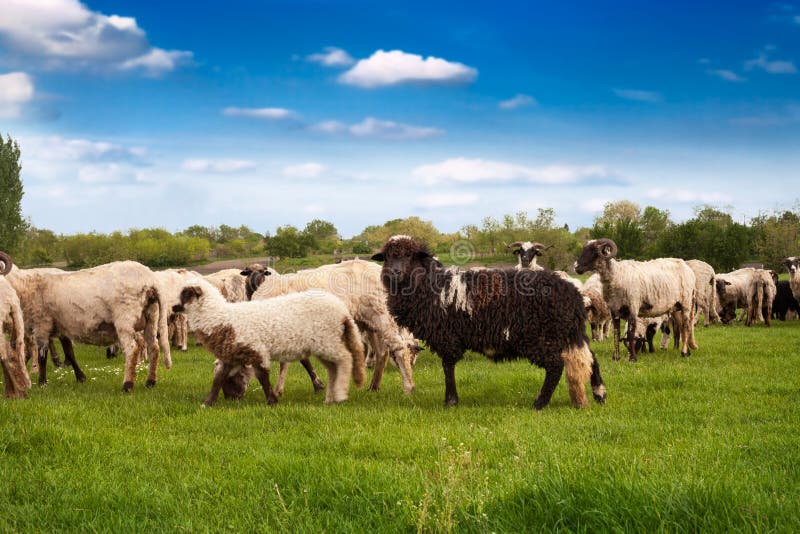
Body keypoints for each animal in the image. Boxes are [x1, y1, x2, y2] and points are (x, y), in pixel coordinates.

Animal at [6, 261, 171, 392]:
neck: (26, 286)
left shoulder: (42, 324)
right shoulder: (62, 326)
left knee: (132, 349)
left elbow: (42, 356)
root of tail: (150, 278)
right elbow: (69, 352)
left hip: (125, 317)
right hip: (152, 315)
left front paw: (41, 383)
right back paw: (150, 382)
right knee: (154, 348)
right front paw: (80, 378)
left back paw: (127, 385)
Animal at [172, 280, 366, 406]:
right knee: (334, 368)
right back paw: (329, 398)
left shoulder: (256, 349)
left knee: (345, 359)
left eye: (186, 293)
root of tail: (343, 311)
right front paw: (208, 402)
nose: (172, 307)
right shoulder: (231, 354)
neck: (220, 318)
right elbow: (218, 378)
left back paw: (339, 395)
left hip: (328, 340)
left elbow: (262, 377)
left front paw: (272, 400)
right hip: (324, 344)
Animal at [371, 235, 606, 410]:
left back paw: (539, 403)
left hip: (541, 337)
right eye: (387, 257)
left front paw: (450, 401)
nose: (394, 271)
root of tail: (574, 296)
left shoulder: (447, 335)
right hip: (567, 333)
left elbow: (447, 366)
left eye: (410, 255)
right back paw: (599, 393)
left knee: (556, 366)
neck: (430, 284)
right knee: (589, 357)